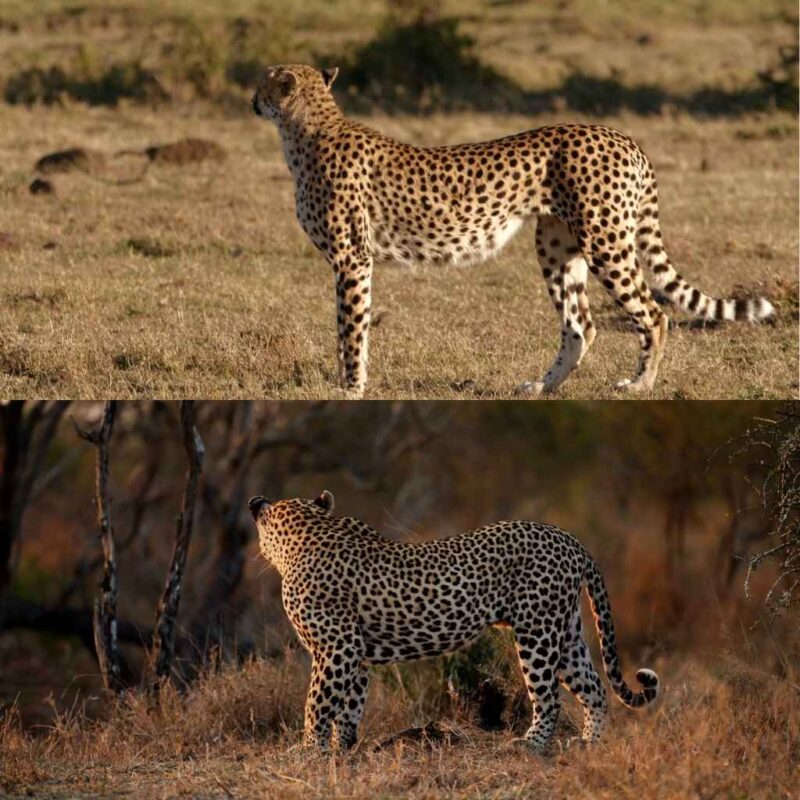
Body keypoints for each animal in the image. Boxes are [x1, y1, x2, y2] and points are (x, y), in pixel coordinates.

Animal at [248, 490, 660, 753]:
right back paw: (590, 743)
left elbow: (317, 702)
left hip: (537, 634)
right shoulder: (355, 654)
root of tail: (572, 541)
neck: (305, 532)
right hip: (566, 632)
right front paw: (341, 748)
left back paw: (530, 745)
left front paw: (308, 750)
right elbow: (348, 705)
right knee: (595, 688)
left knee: (550, 698)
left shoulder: (337, 648)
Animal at [251, 64, 774, 398]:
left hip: (605, 241)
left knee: (653, 313)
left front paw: (351, 387)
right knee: (581, 325)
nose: (252, 100)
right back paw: (542, 386)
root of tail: (623, 136)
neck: (307, 130)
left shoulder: (352, 259)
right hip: (557, 244)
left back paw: (639, 384)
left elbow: (351, 328)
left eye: (265, 82)